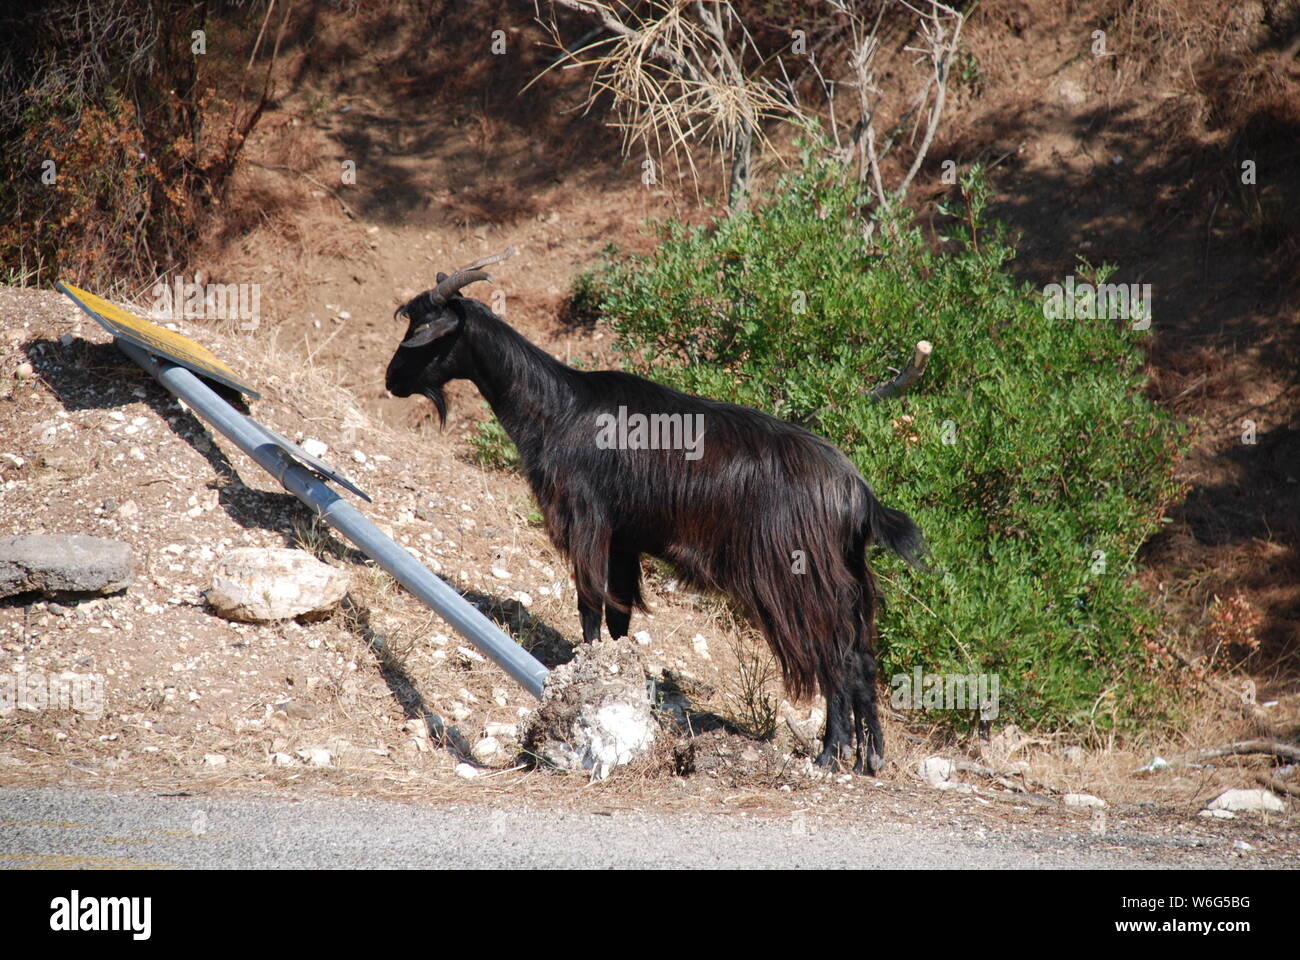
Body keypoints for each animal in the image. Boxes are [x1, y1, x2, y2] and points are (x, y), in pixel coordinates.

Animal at [384, 251, 926, 773]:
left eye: (421, 332)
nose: (391, 380)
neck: (559, 407)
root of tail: (857, 493)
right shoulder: (624, 539)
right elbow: (620, 615)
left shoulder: (587, 521)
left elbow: (590, 604)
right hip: (848, 578)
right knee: (862, 658)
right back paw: (871, 757)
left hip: (799, 577)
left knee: (835, 657)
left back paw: (831, 753)